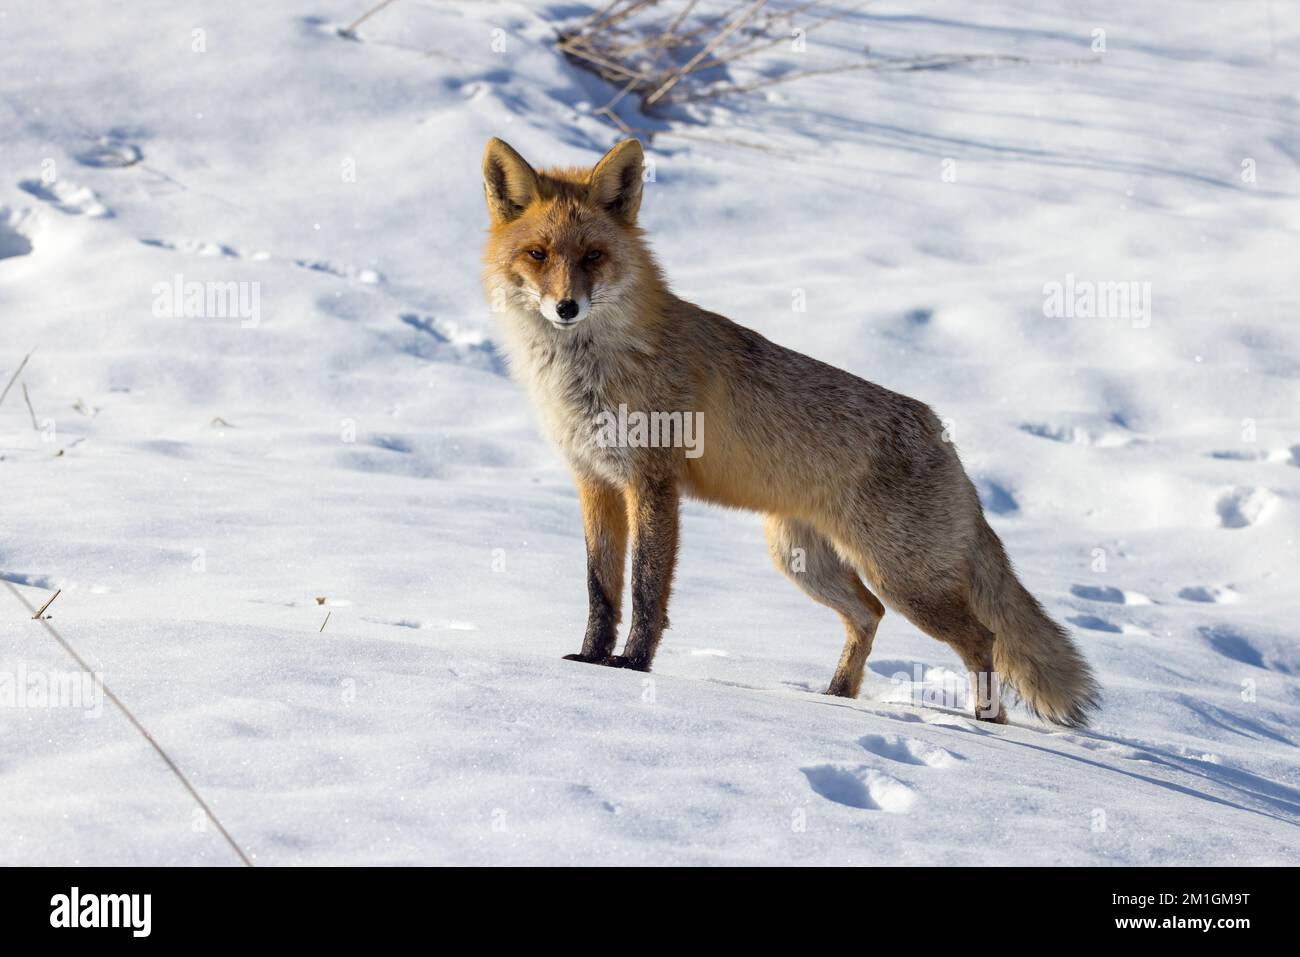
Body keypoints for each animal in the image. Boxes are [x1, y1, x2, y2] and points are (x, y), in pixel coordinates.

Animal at [481, 136, 1100, 727]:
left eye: (594, 255)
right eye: (538, 255)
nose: (566, 307)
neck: (587, 374)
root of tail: (942, 435)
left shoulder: (651, 482)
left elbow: (646, 589)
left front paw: (632, 667)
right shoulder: (595, 481)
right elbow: (600, 590)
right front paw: (589, 662)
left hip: (905, 580)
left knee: (981, 636)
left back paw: (987, 722)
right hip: (801, 558)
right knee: (868, 615)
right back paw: (836, 698)